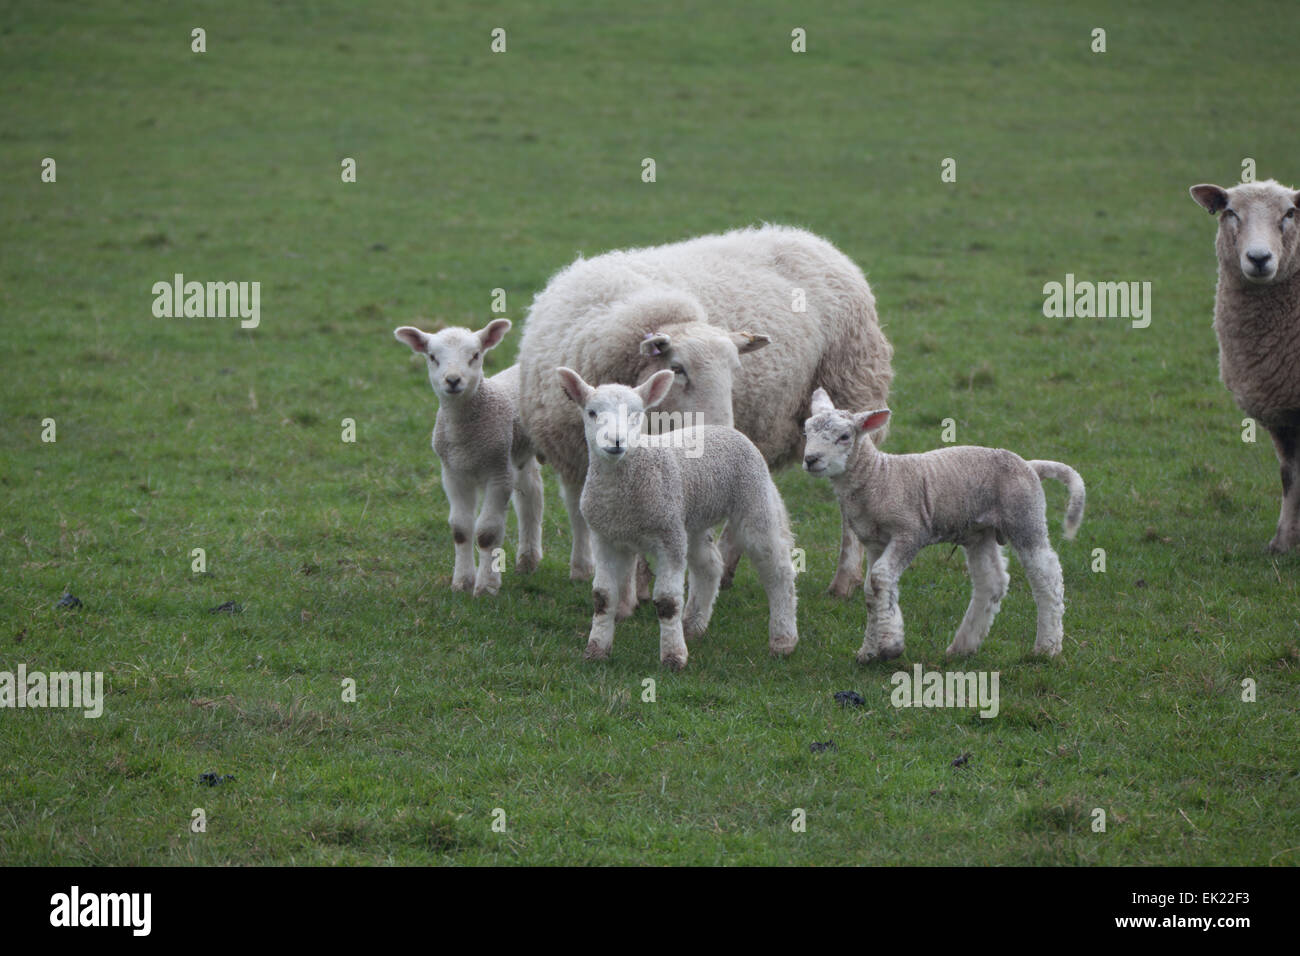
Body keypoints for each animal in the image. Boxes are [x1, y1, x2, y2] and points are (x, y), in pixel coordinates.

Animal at [393, 319, 543, 595]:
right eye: (432, 357)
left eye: (475, 355)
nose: (453, 380)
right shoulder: (453, 474)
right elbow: (461, 529)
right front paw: (462, 582)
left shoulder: (498, 473)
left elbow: (487, 532)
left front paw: (486, 587)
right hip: (520, 453)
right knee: (532, 495)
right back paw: (528, 559)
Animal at [518, 224, 894, 597]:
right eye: (677, 369)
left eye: (735, 369)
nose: (722, 430)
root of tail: (815, 241)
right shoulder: (571, 453)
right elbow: (578, 512)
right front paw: (585, 571)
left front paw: (637, 588)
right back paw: (726, 568)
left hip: (852, 391)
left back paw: (843, 579)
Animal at [555, 366, 798, 671]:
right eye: (591, 412)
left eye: (636, 413)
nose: (616, 441)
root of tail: (726, 430)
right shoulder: (605, 538)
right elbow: (603, 597)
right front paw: (596, 650)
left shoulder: (667, 536)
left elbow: (667, 602)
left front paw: (673, 657)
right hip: (690, 519)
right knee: (709, 566)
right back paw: (693, 625)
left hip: (754, 498)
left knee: (779, 570)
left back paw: (783, 640)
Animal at [801, 389, 1085, 662]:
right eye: (806, 433)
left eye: (844, 436)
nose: (811, 459)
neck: (878, 476)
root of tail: (1030, 465)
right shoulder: (873, 541)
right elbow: (873, 591)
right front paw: (869, 651)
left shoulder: (910, 531)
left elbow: (881, 577)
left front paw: (891, 645)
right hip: (979, 532)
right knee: (991, 582)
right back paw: (963, 647)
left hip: (1025, 517)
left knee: (1047, 576)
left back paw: (1047, 648)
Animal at [1189, 179, 1300, 552]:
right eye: (1231, 212)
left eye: (1290, 213)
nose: (1259, 258)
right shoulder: (1282, 410)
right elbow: (1289, 475)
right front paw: (1282, 543)